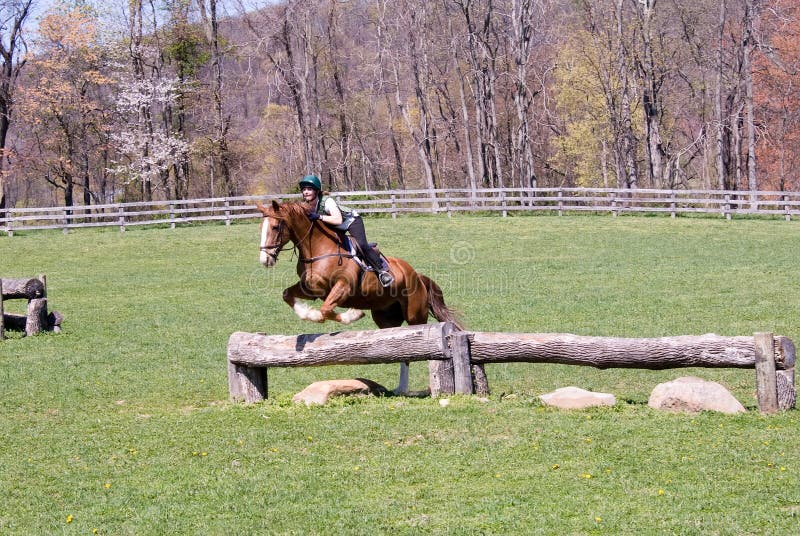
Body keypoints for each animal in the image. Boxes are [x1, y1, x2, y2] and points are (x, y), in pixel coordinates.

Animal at [255, 199, 463, 394]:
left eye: (275, 227)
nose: (265, 260)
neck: (317, 248)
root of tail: (417, 276)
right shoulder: (311, 289)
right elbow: (288, 295)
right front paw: (308, 313)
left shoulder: (343, 287)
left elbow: (326, 310)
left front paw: (352, 314)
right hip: (386, 319)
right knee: (402, 350)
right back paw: (401, 388)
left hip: (414, 315)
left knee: (418, 345)